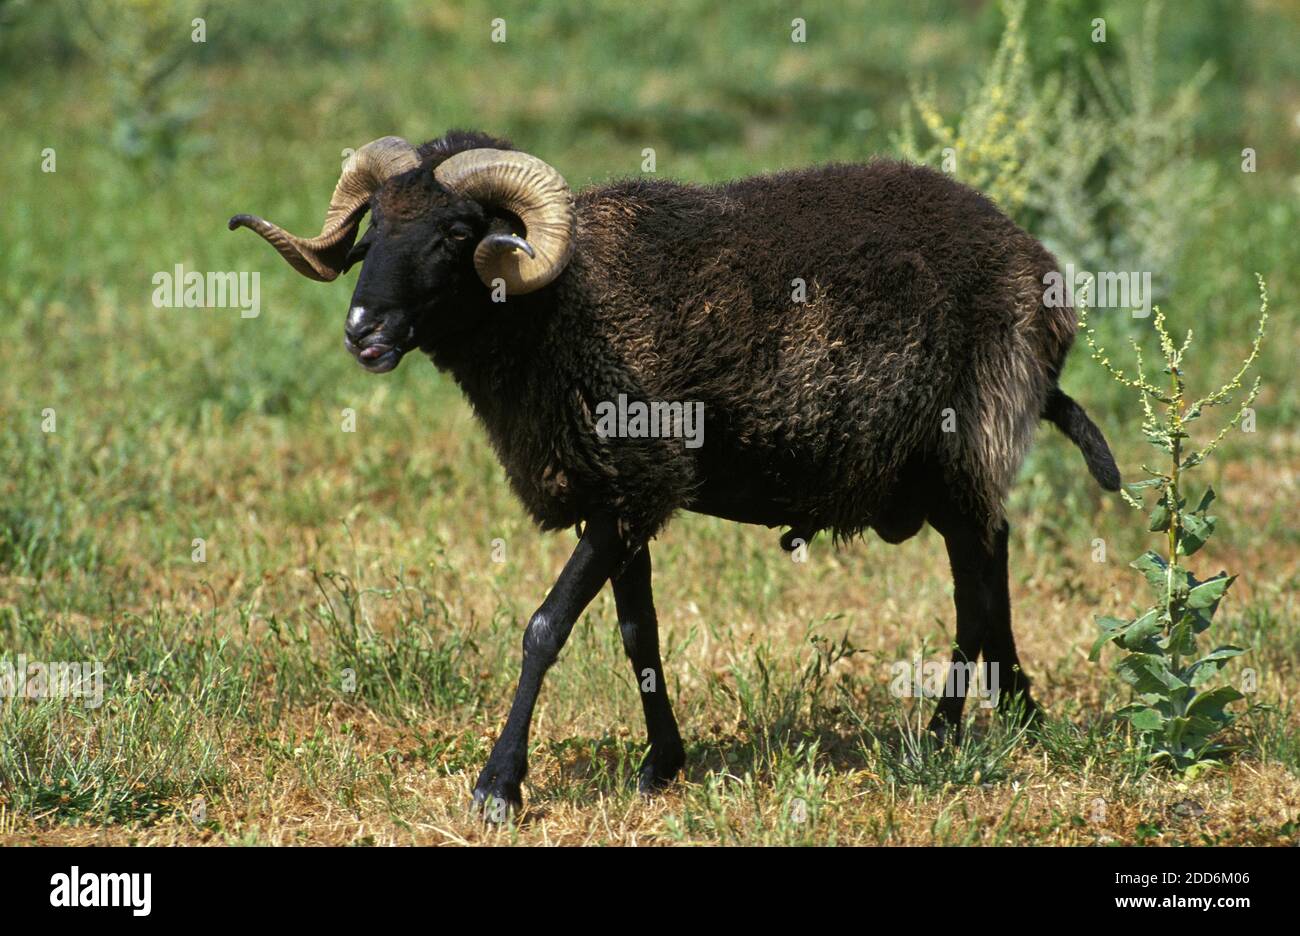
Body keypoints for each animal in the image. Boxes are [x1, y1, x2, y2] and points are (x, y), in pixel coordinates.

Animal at [230, 129, 1120, 817]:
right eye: (373, 227)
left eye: (455, 233)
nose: (362, 330)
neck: (562, 310)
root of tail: (1045, 272)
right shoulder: (617, 497)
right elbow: (638, 635)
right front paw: (662, 765)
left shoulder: (635, 483)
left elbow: (544, 629)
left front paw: (499, 786)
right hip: (952, 466)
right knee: (994, 559)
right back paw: (1021, 710)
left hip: (967, 441)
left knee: (974, 587)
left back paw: (942, 734)